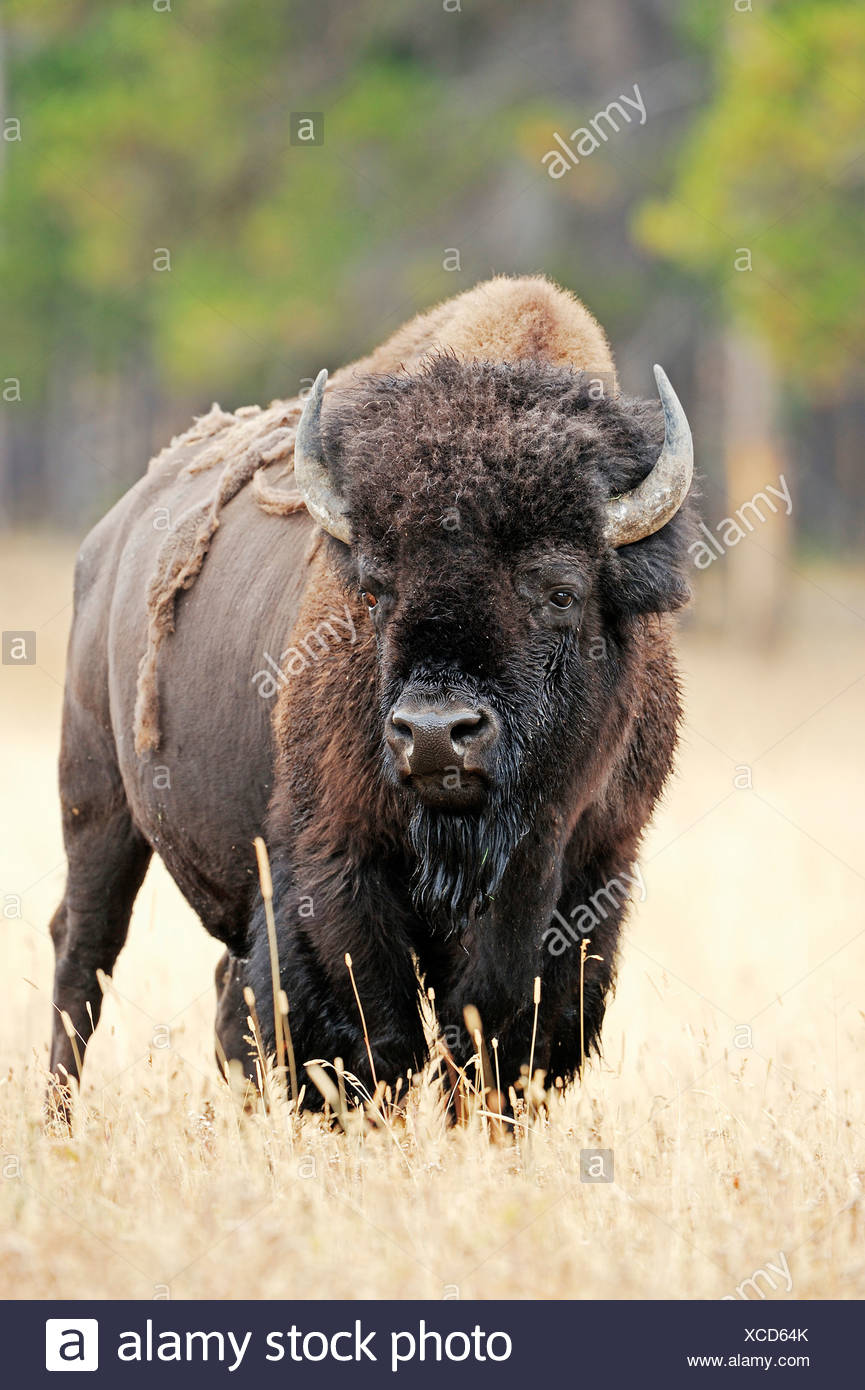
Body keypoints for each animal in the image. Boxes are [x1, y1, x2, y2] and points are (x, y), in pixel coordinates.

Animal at [47, 275, 694, 1117]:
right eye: (376, 590)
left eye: (560, 590)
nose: (434, 733)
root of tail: (109, 538)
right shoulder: (335, 866)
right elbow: (369, 1040)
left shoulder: (588, 875)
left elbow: (501, 1041)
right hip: (97, 804)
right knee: (82, 955)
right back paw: (58, 1119)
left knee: (218, 989)